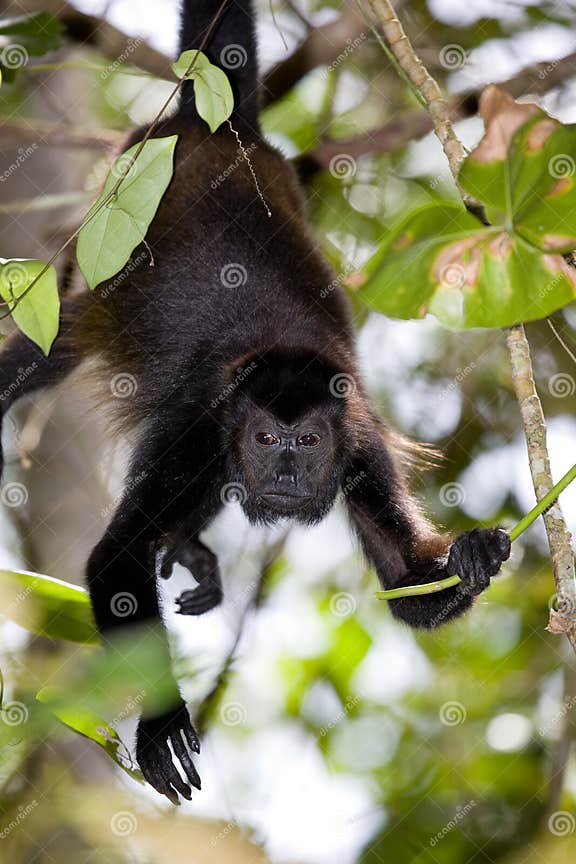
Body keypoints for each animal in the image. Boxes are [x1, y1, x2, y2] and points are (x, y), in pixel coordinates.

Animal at [0, 0, 511, 803]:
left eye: (308, 443)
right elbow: (114, 560)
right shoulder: (198, 426)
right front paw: (161, 725)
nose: (287, 474)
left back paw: (188, 544)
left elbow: (404, 583)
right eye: (269, 439)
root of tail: (217, 128)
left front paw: (475, 554)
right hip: (113, 212)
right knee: (50, 348)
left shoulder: (361, 446)